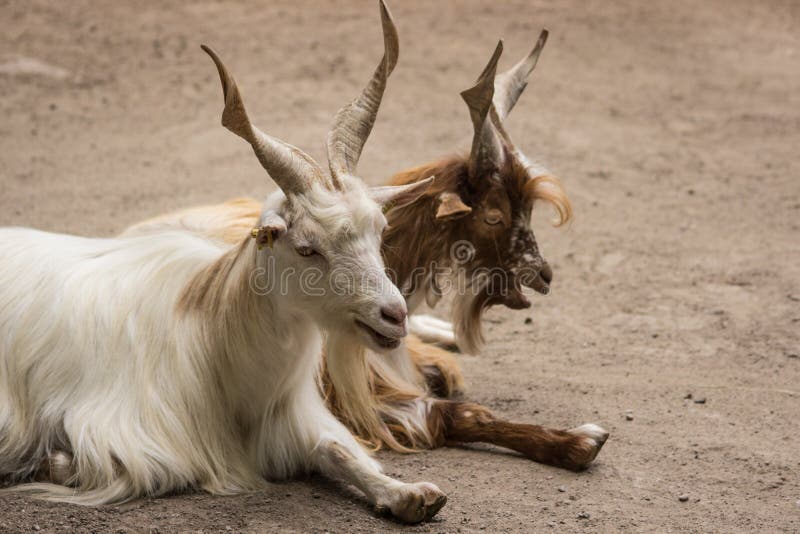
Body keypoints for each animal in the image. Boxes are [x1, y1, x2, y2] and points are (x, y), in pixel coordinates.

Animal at [0, 1, 448, 523]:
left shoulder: (291, 422)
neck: (214, 344)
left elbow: (336, 450)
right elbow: (85, 462)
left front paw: (409, 493)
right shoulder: (127, 434)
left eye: (379, 231)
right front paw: (44, 461)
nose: (394, 315)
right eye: (307, 248)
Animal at [124, 31, 609, 471]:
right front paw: (578, 441)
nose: (544, 274)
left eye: (527, 208)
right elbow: (462, 412)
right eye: (493, 215)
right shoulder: (357, 395)